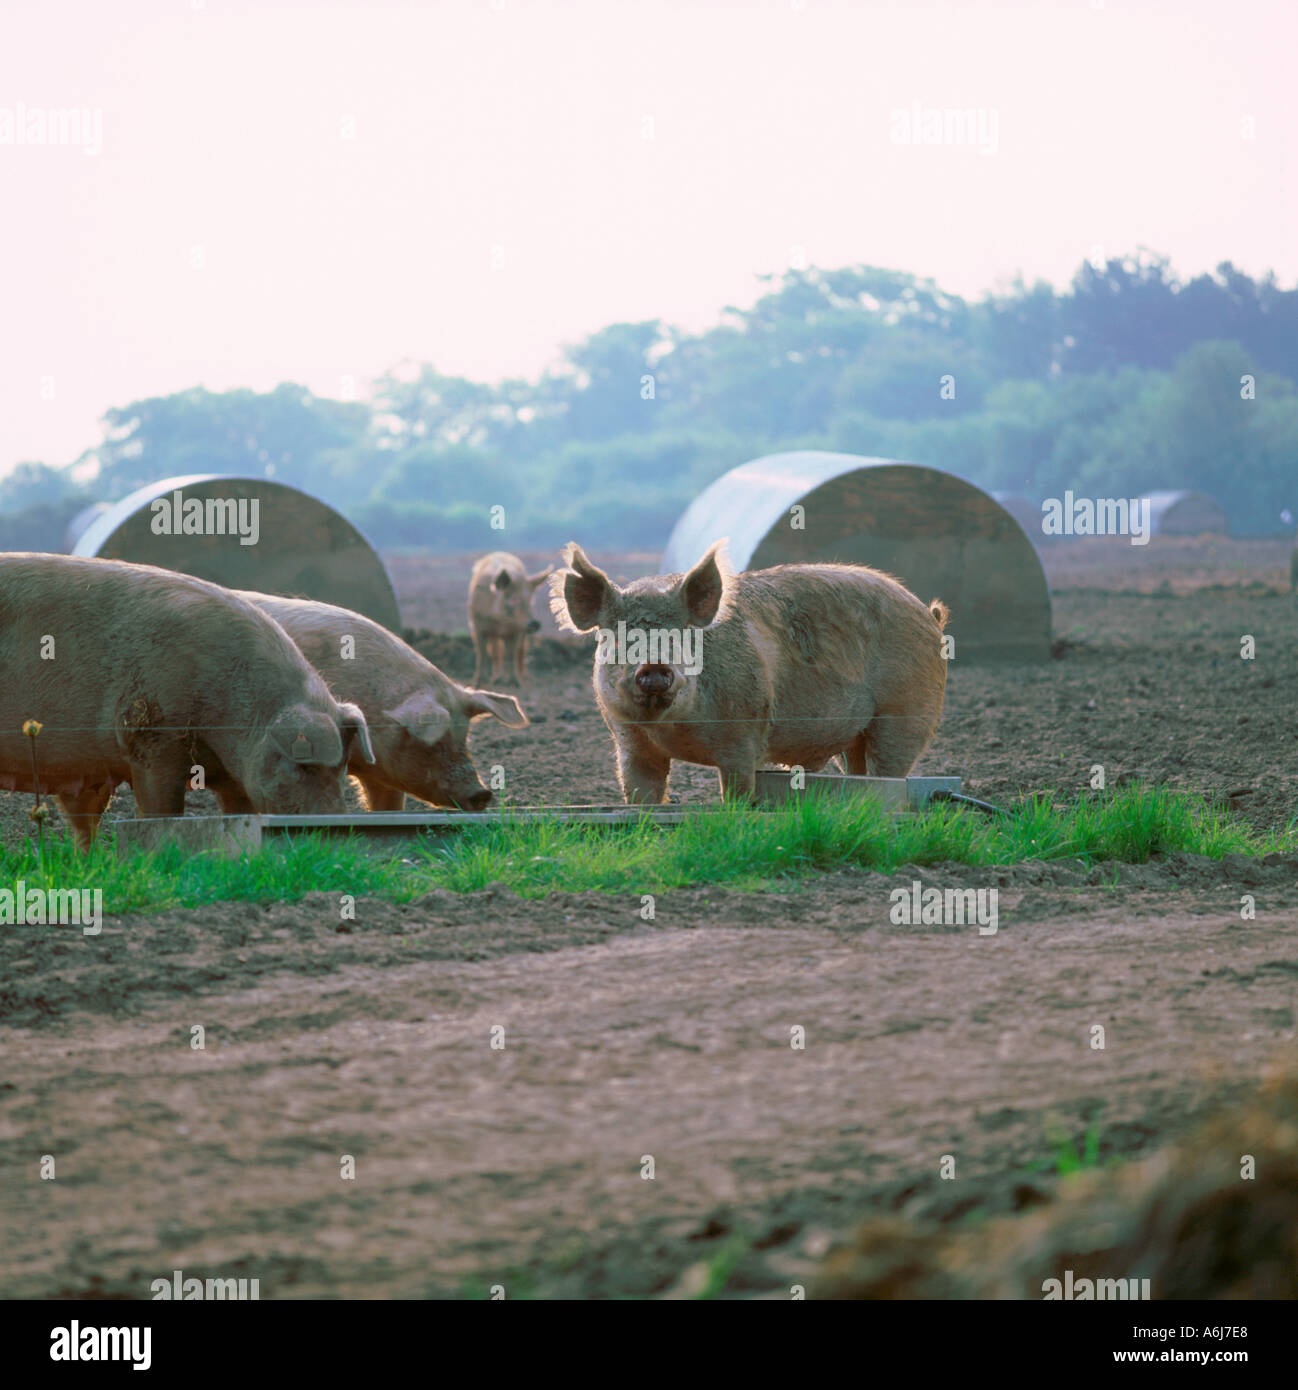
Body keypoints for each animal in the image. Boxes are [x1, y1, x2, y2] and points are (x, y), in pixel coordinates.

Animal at [0, 554, 376, 849]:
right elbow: (162, 809)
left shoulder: (234, 774)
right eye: (302, 765)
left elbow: (239, 811)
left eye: (341, 766)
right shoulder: (151, 738)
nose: (336, 824)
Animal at [468, 552, 553, 687]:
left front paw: (515, 683)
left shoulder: (516, 630)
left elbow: (511, 654)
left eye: (530, 600)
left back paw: (524, 678)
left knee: (520, 650)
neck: (501, 622)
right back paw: (495, 679)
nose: (535, 623)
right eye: (513, 599)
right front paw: (478, 683)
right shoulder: (477, 624)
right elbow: (482, 653)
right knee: (495, 651)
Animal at [549, 540, 949, 802]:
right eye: (620, 638)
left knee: (890, 769)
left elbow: (738, 791)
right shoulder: (628, 740)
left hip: (905, 712)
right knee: (858, 770)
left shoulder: (743, 734)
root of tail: (930, 616)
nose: (655, 668)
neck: (671, 728)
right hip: (854, 733)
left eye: (681, 637)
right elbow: (640, 793)